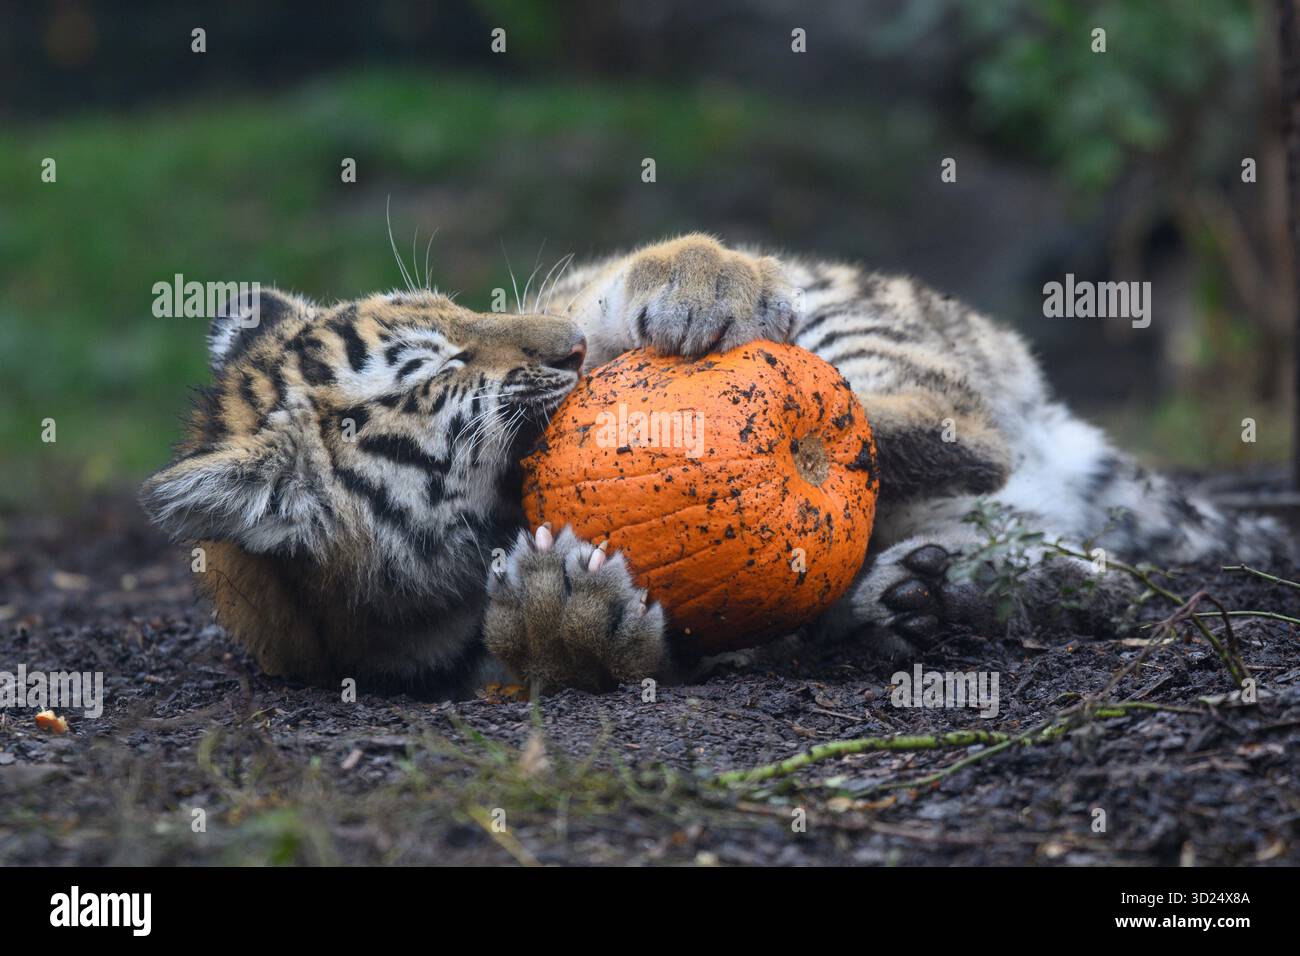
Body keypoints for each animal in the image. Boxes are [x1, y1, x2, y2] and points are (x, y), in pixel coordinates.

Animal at [140, 234, 1289, 698]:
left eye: (458, 310)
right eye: (437, 368)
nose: (568, 349)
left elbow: (635, 270)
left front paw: (698, 286)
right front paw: (568, 608)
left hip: (877, 330)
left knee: (952, 426)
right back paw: (915, 597)